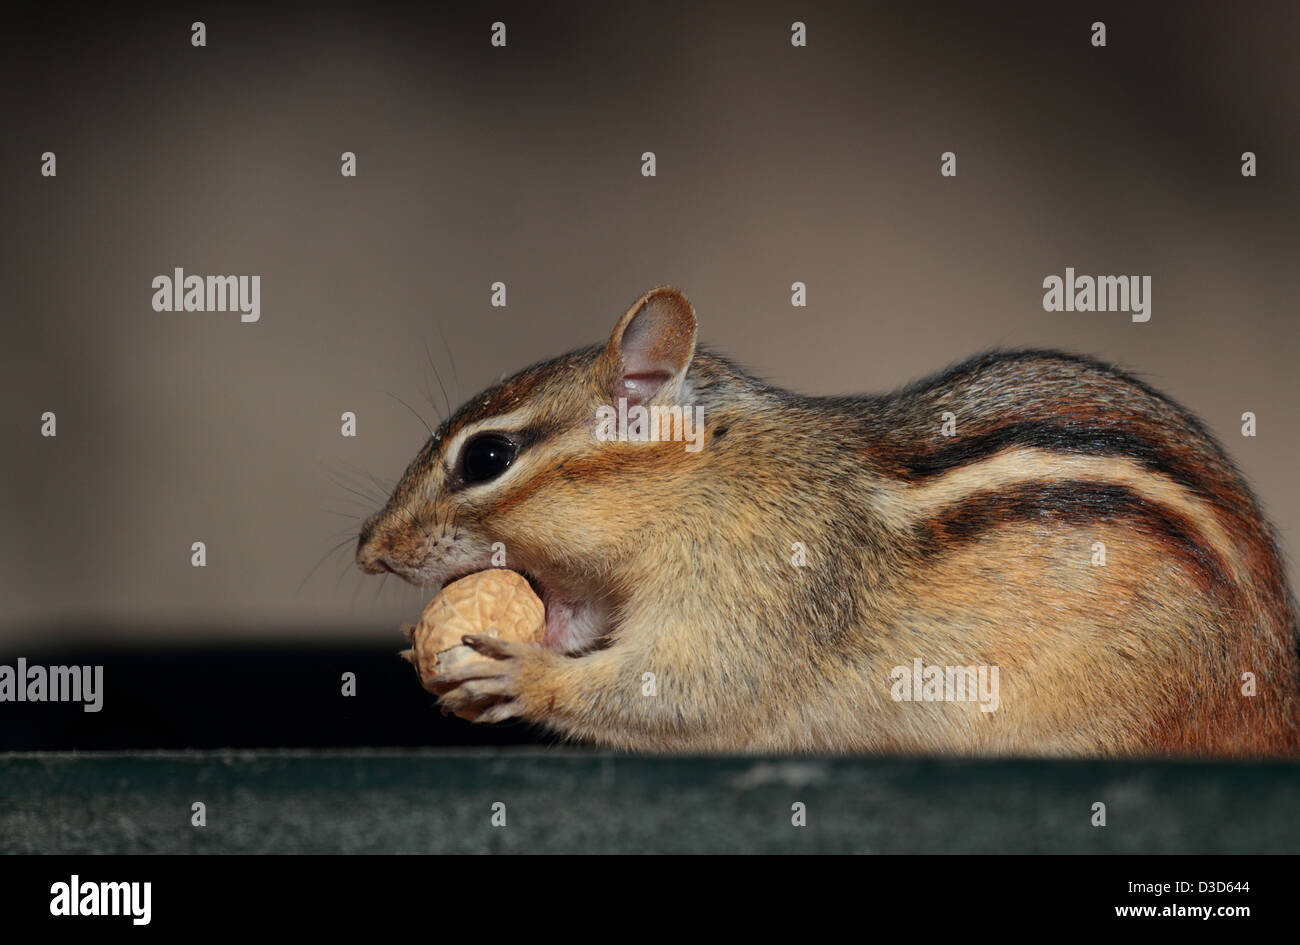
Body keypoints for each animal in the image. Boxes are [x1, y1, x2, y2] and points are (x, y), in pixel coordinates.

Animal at [356, 286, 1300, 756]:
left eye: (486, 457)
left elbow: (695, 689)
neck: (710, 478)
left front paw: (525, 676)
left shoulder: (765, 587)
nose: (369, 549)